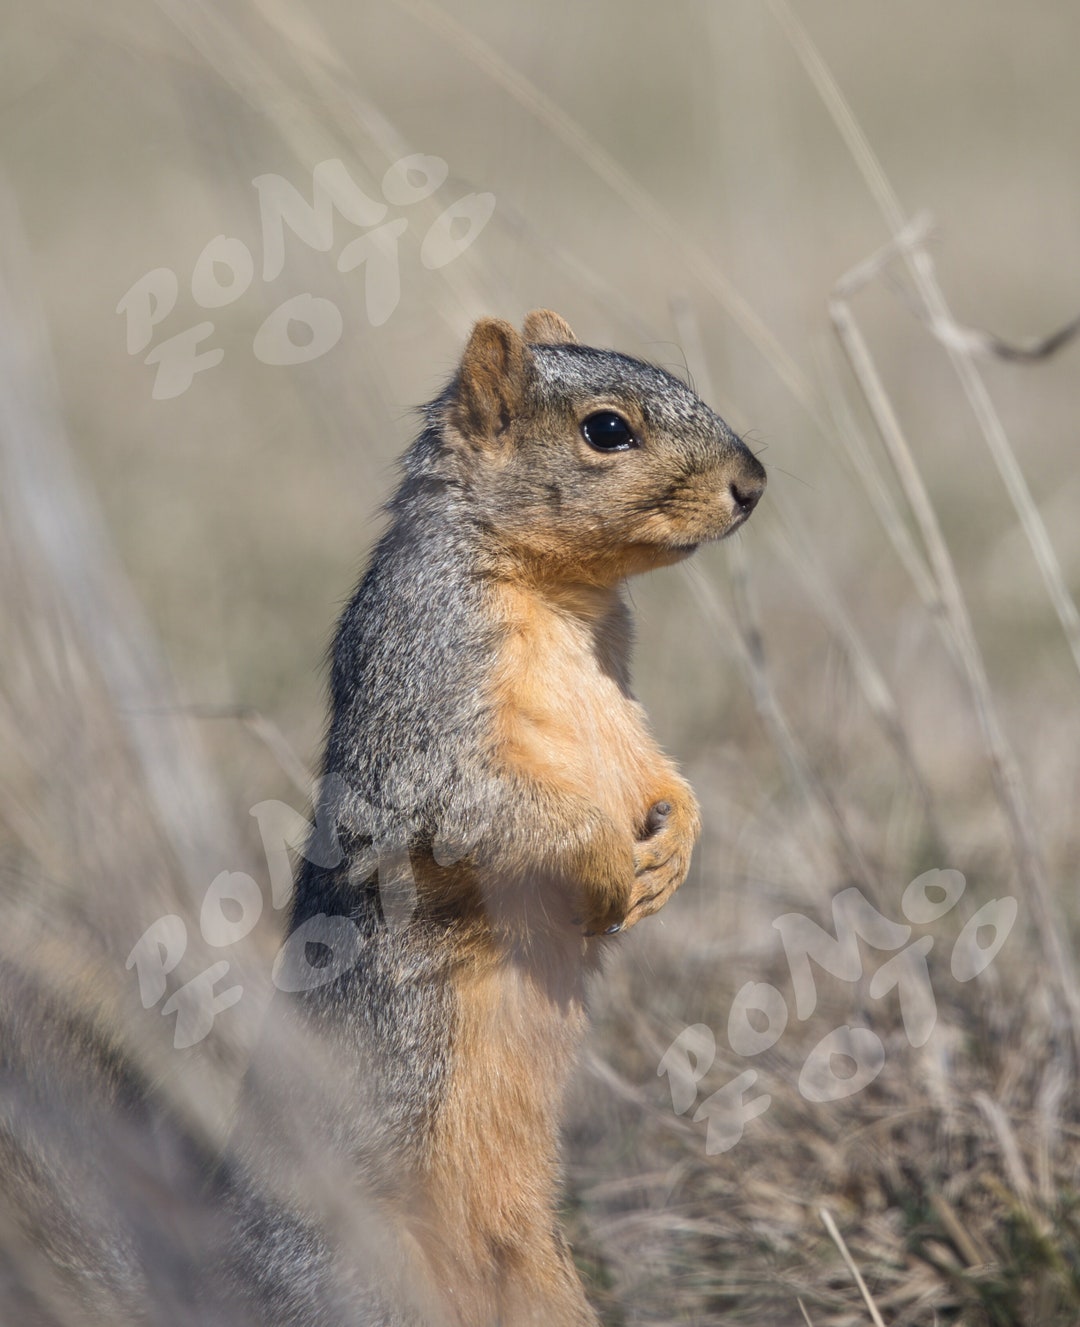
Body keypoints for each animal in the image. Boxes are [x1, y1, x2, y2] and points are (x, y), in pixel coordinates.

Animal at [225, 309, 766, 1326]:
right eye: (606, 430)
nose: (752, 485)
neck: (561, 595)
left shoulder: (620, 702)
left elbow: (658, 771)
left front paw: (676, 847)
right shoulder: (424, 700)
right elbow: (468, 806)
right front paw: (606, 864)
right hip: (362, 1284)